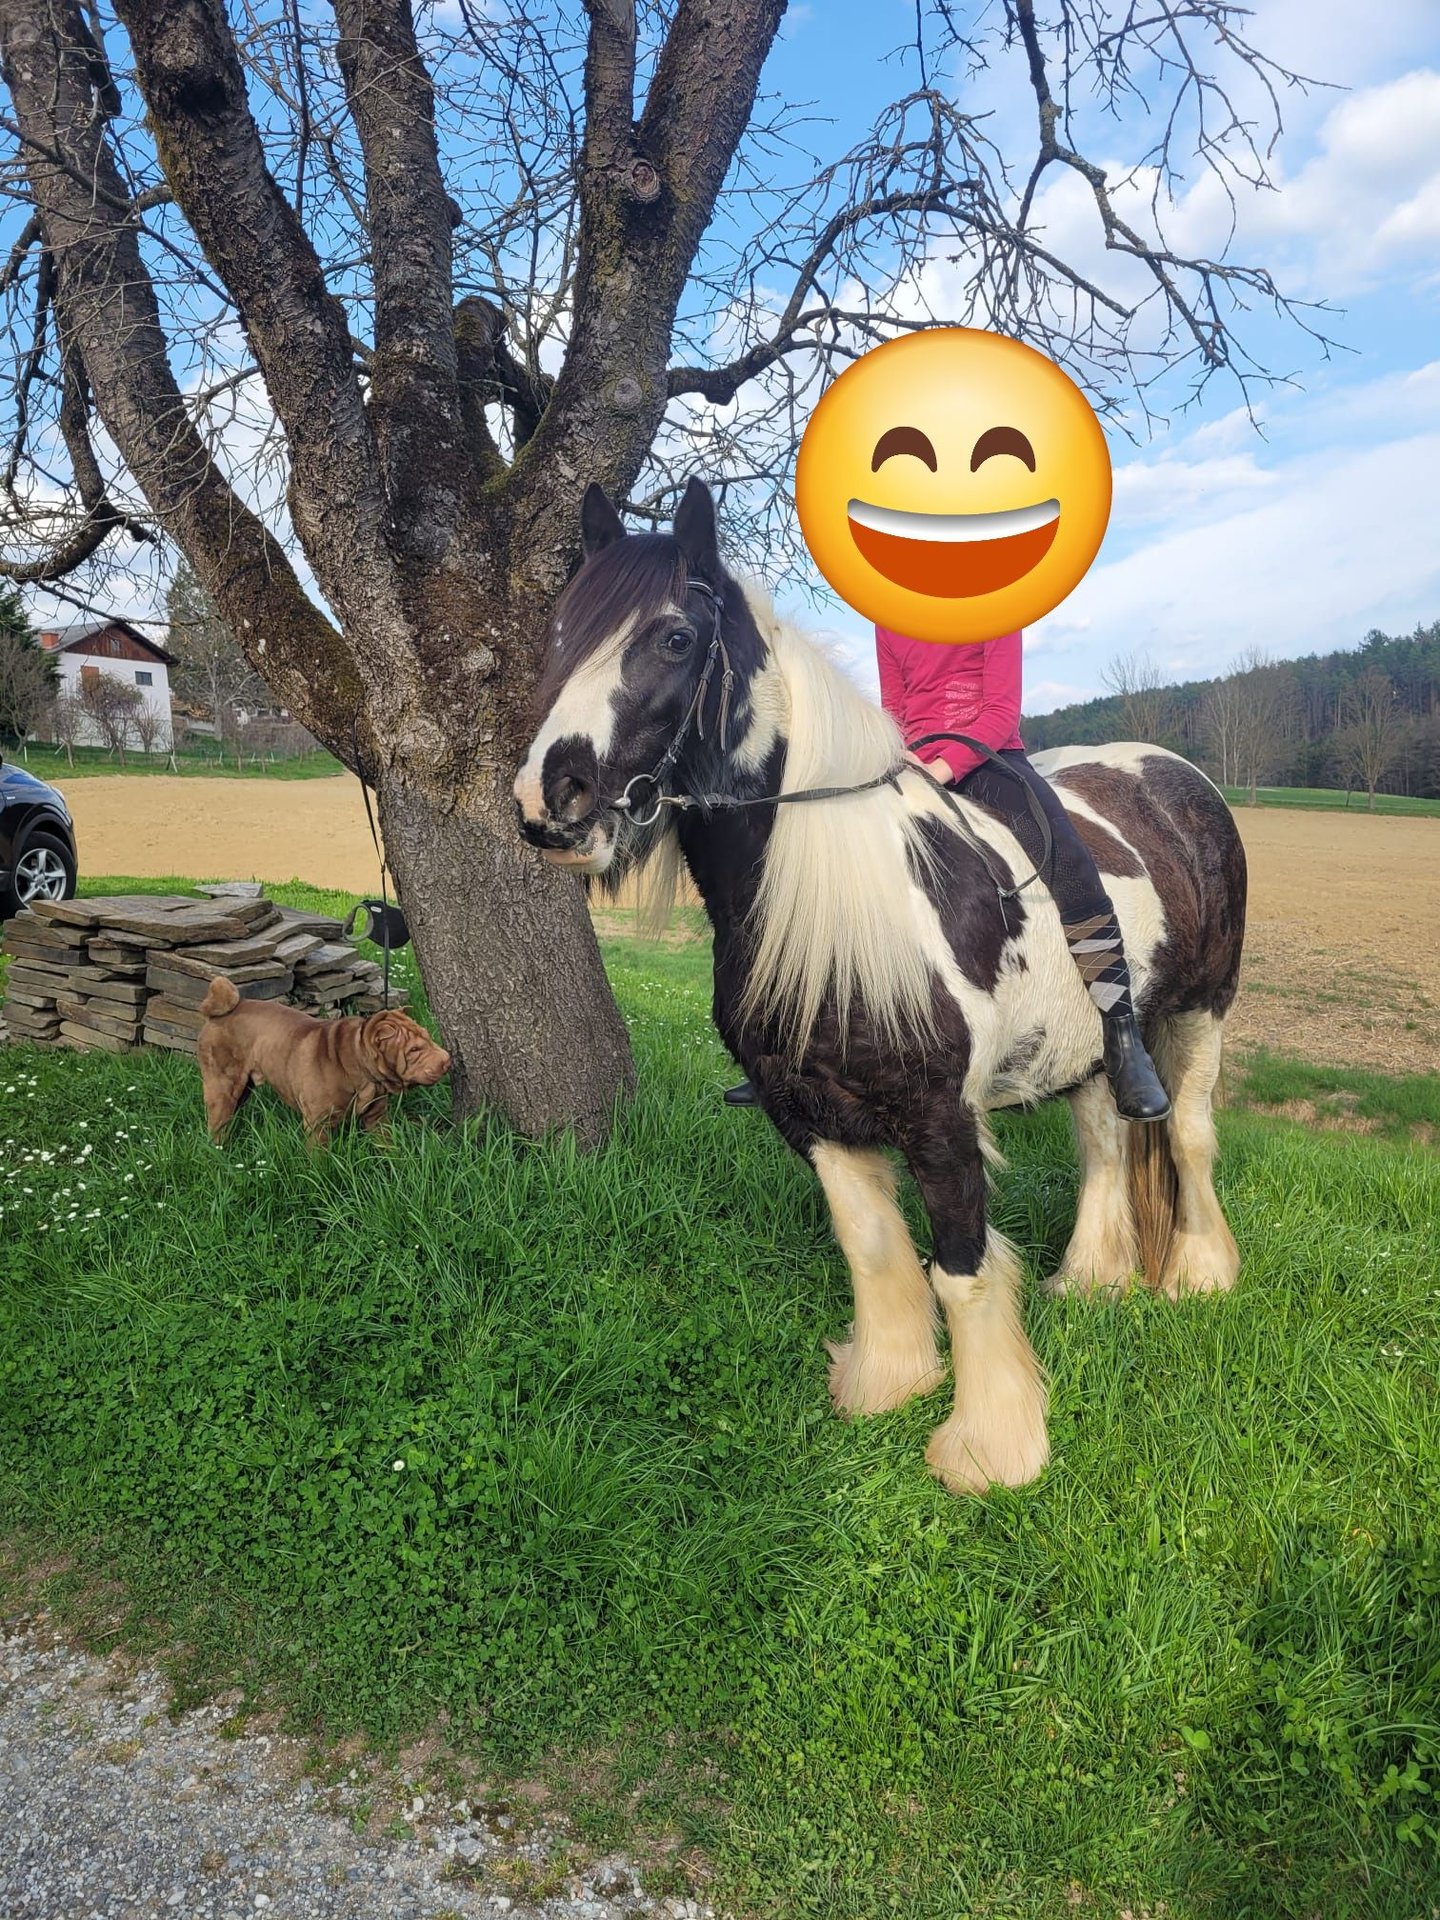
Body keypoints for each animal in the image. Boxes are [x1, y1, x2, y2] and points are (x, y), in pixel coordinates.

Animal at [514, 478, 1246, 1494]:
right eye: (558, 632)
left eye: (674, 637)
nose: (552, 801)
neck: (838, 898)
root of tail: (1181, 777)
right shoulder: (809, 1112)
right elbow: (872, 1250)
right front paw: (887, 1383)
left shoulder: (940, 1121)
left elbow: (961, 1269)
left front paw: (989, 1448)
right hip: (1095, 1049)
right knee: (1105, 1141)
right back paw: (1091, 1280)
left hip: (1204, 1012)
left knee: (1187, 1133)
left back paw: (1199, 1276)